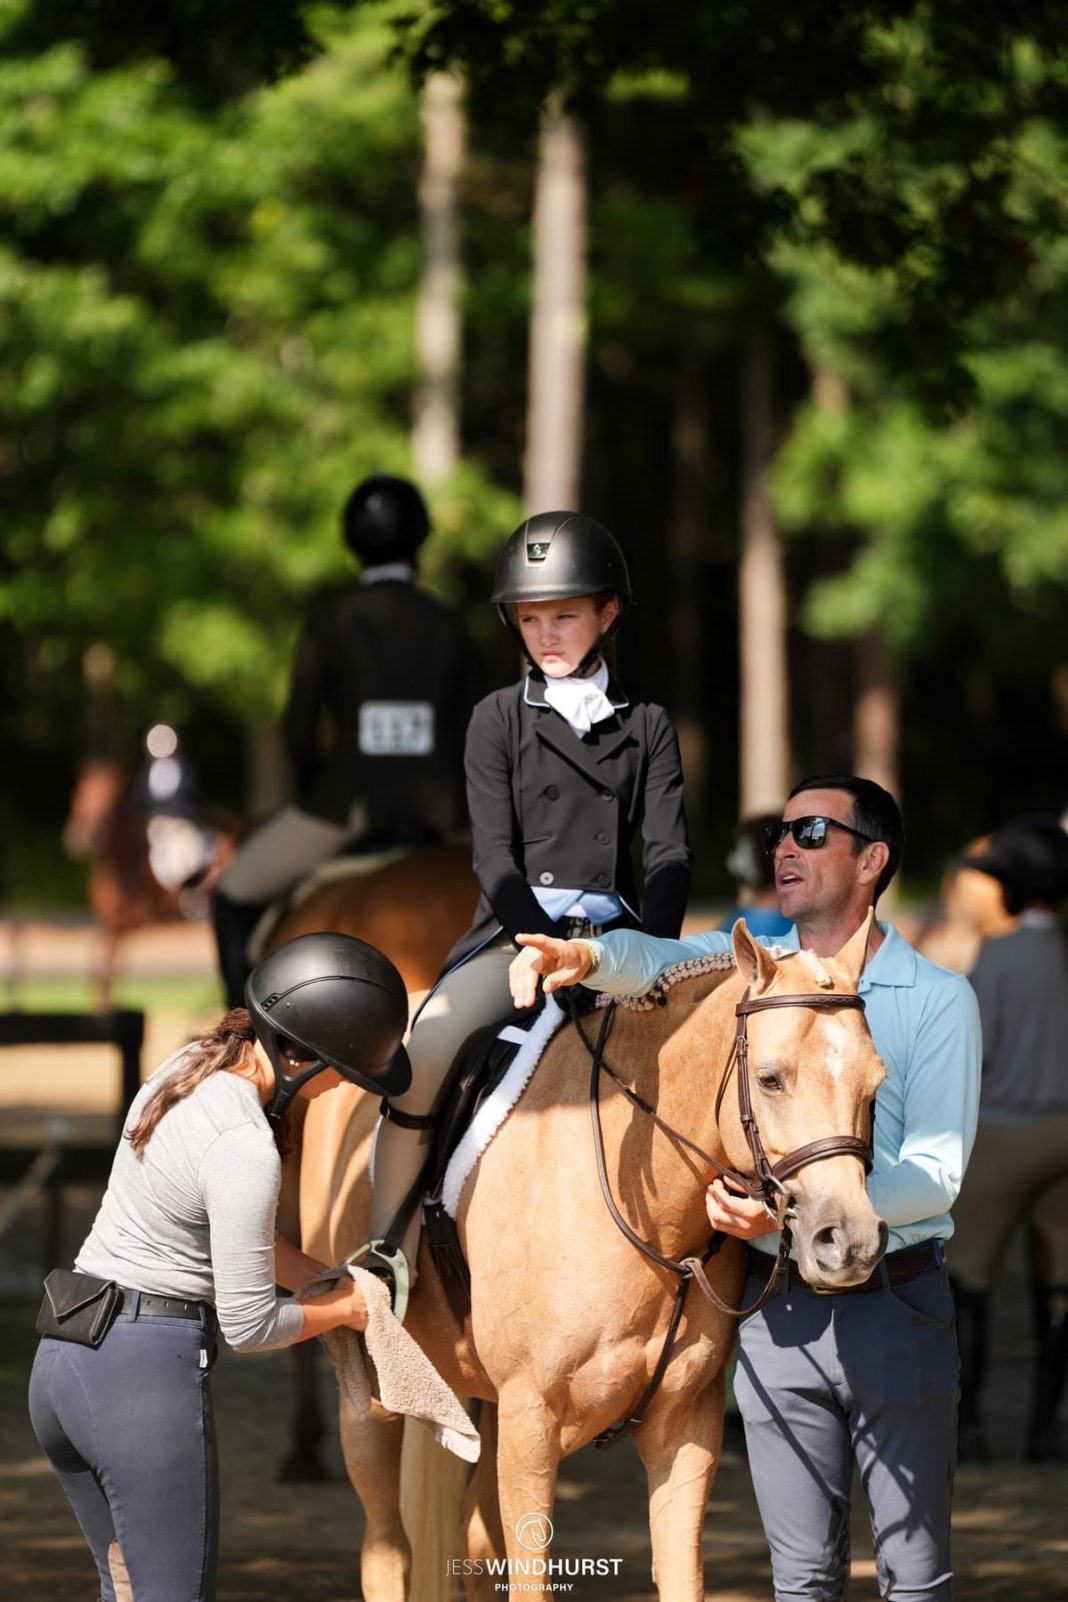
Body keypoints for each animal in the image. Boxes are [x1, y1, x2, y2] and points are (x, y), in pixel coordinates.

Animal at [298, 913, 887, 1601]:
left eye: (876, 1082)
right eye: (770, 1079)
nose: (849, 1244)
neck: (649, 1220)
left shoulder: (685, 1428)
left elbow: (680, 1575)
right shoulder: (531, 1425)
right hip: (370, 1398)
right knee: (387, 1549)